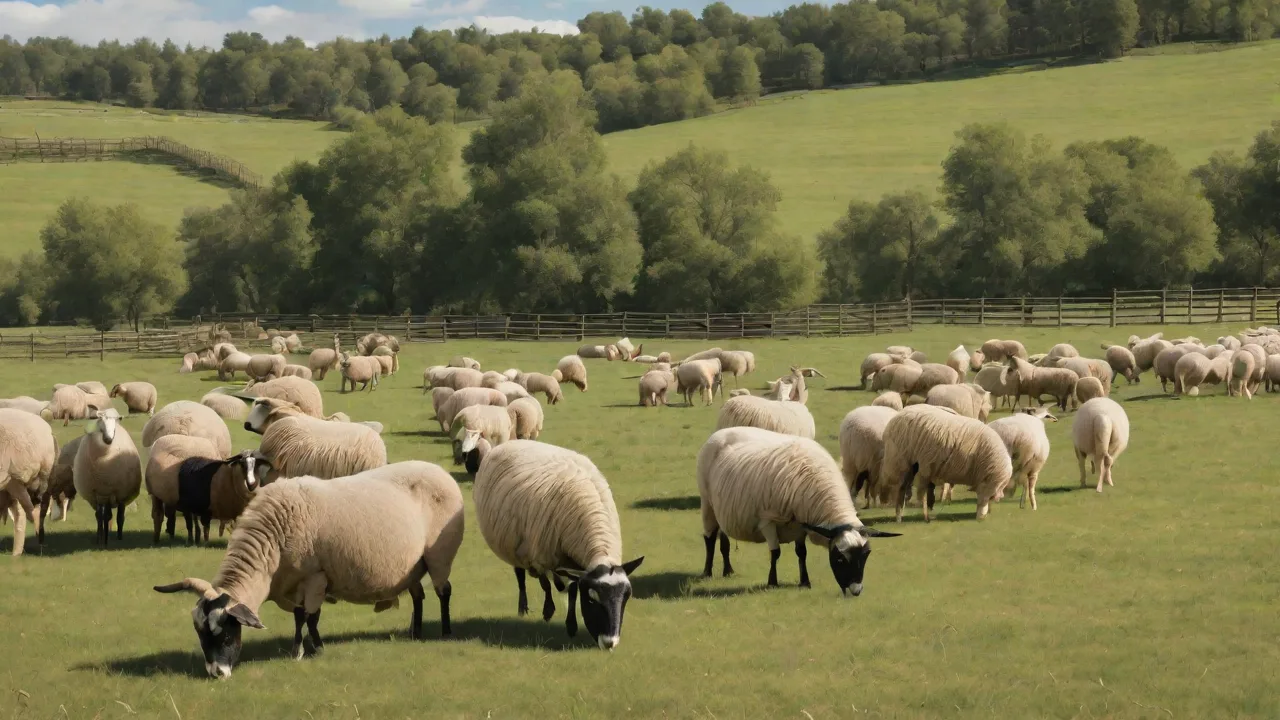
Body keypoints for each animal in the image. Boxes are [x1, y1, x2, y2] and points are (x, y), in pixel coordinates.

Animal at [73, 409, 143, 546]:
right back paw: (100, 535)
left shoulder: (119, 494)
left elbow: (118, 517)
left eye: (116, 421)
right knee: (100, 515)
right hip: (100, 497)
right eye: (100, 420)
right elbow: (100, 516)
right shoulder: (97, 493)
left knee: (113, 516)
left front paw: (113, 538)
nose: (108, 439)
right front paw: (101, 539)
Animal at [155, 460, 464, 676]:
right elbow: (299, 617)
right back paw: (416, 633)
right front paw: (303, 648)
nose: (217, 674)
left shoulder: (315, 578)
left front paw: (312, 649)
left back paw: (447, 632)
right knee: (418, 595)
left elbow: (310, 617)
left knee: (444, 591)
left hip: (439, 555)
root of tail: (440, 471)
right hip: (412, 565)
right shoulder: (293, 585)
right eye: (200, 635)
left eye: (227, 634)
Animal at [472, 440, 643, 647]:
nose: (610, 642)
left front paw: (571, 625)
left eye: (626, 597)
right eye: (592, 599)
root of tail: (508, 442)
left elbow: (572, 589)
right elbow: (546, 584)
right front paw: (549, 612)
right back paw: (523, 607)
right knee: (521, 575)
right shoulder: (540, 555)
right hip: (514, 543)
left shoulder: (571, 562)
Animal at [697, 426, 899, 594]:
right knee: (709, 538)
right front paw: (772, 582)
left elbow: (802, 553)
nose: (856, 591)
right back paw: (707, 572)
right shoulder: (767, 520)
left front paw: (805, 582)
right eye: (840, 559)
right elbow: (775, 553)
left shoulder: (802, 524)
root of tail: (721, 432)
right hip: (707, 502)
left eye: (865, 557)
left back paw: (728, 571)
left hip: (722, 508)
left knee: (723, 539)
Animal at [881, 405, 1013, 521]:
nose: (982, 518)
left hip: (912, 467)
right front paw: (980, 516)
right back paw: (902, 516)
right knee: (901, 490)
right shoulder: (986, 484)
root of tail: (896, 417)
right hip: (901, 462)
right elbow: (982, 500)